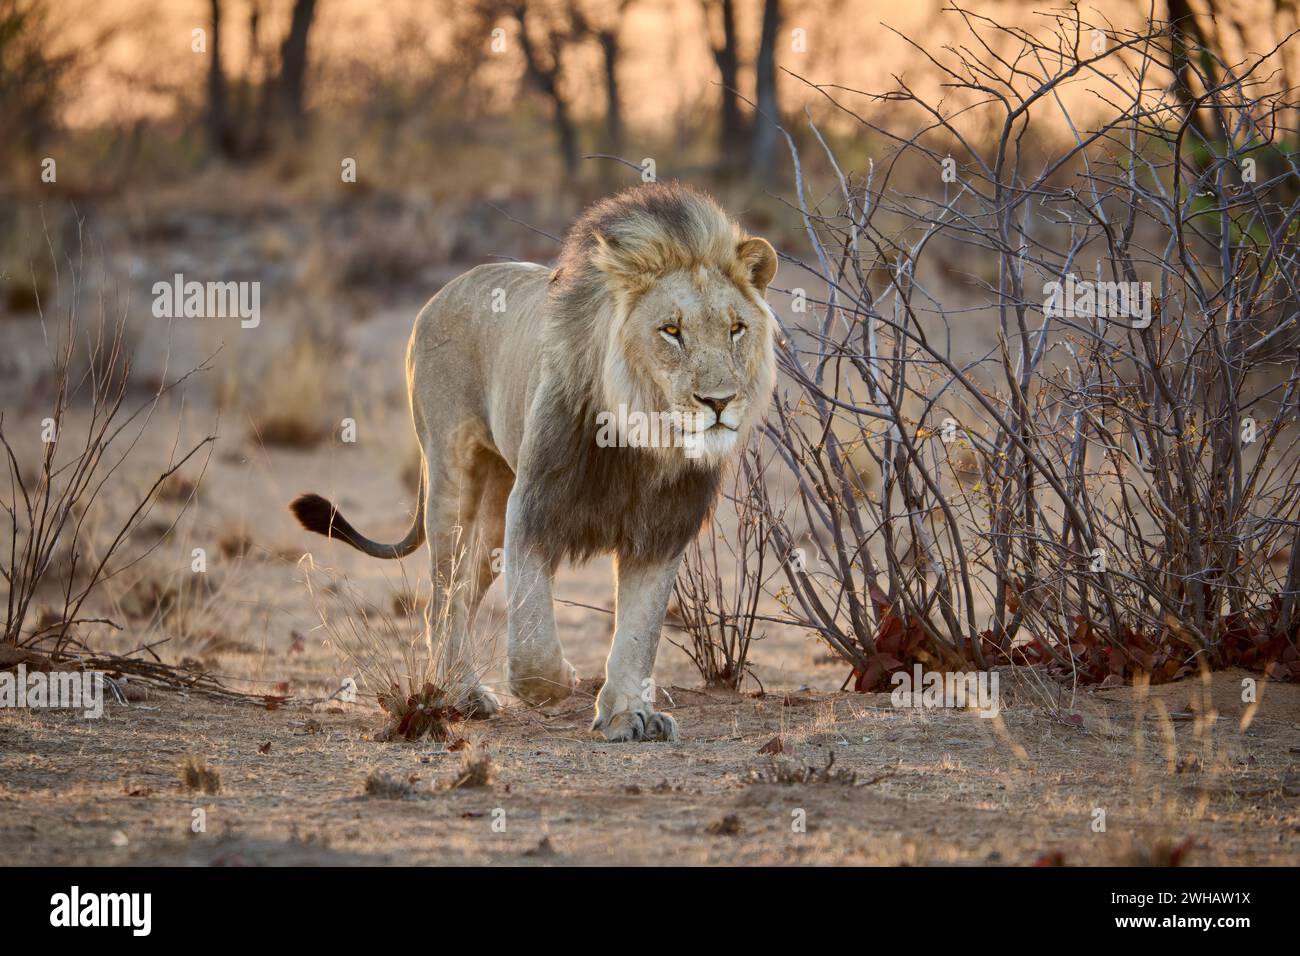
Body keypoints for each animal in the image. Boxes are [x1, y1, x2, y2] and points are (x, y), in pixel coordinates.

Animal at [290, 182, 777, 741]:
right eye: (671, 330)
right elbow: (531, 639)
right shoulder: (533, 508)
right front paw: (558, 682)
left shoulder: (662, 529)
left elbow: (640, 629)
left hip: (493, 510)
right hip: (453, 484)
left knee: (462, 594)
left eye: (737, 328)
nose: (719, 402)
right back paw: (458, 694)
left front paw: (628, 714)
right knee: (443, 599)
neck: (643, 438)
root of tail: (446, 288)